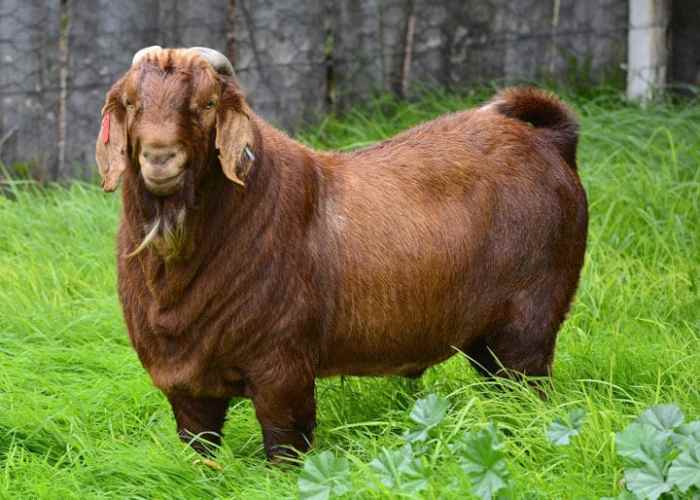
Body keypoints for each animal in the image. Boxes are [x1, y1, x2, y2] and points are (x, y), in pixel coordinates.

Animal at [95, 46, 588, 460]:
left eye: (208, 104)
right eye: (132, 104)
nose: (161, 158)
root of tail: (550, 142)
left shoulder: (282, 366)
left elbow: (286, 444)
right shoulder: (186, 384)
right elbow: (200, 448)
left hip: (529, 321)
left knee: (530, 389)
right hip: (485, 339)